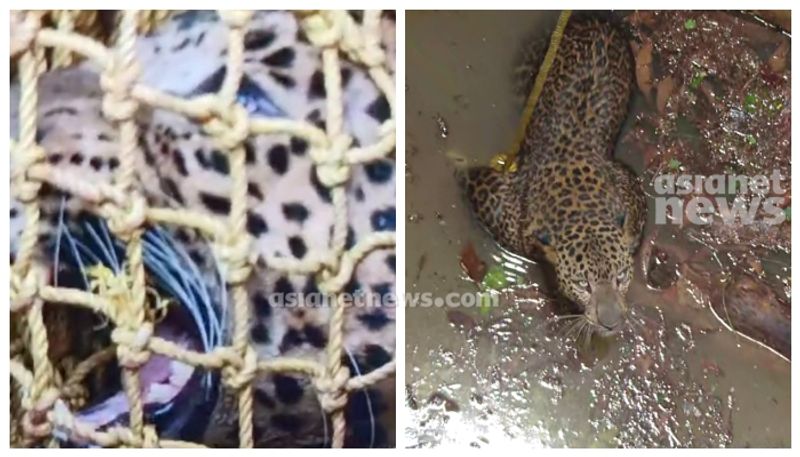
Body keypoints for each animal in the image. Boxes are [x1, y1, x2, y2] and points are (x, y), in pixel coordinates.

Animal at [461, 18, 646, 338]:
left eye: (621, 276)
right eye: (583, 284)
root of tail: (592, 17)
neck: (579, 198)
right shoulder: (491, 197)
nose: (611, 323)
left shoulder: (630, 191)